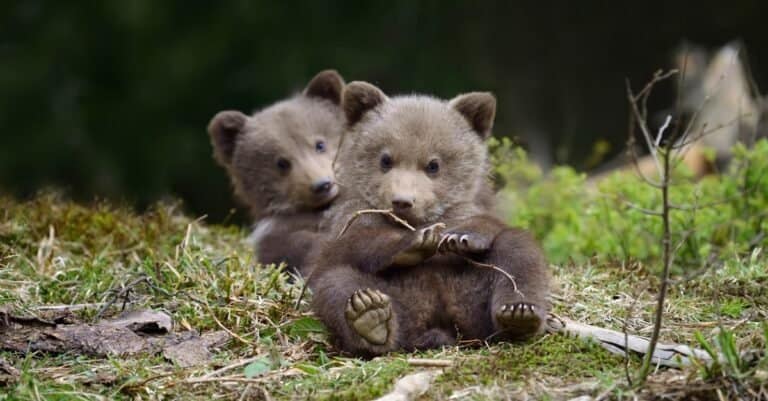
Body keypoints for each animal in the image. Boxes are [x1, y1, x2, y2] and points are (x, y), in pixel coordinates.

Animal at [307, 81, 551, 356]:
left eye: (433, 164)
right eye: (385, 159)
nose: (402, 201)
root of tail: (442, 320)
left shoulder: (471, 207)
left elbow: (488, 224)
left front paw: (460, 237)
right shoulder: (351, 216)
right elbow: (357, 242)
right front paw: (416, 242)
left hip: (473, 291)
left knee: (518, 250)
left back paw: (519, 314)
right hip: (397, 294)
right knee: (336, 284)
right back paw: (370, 316)